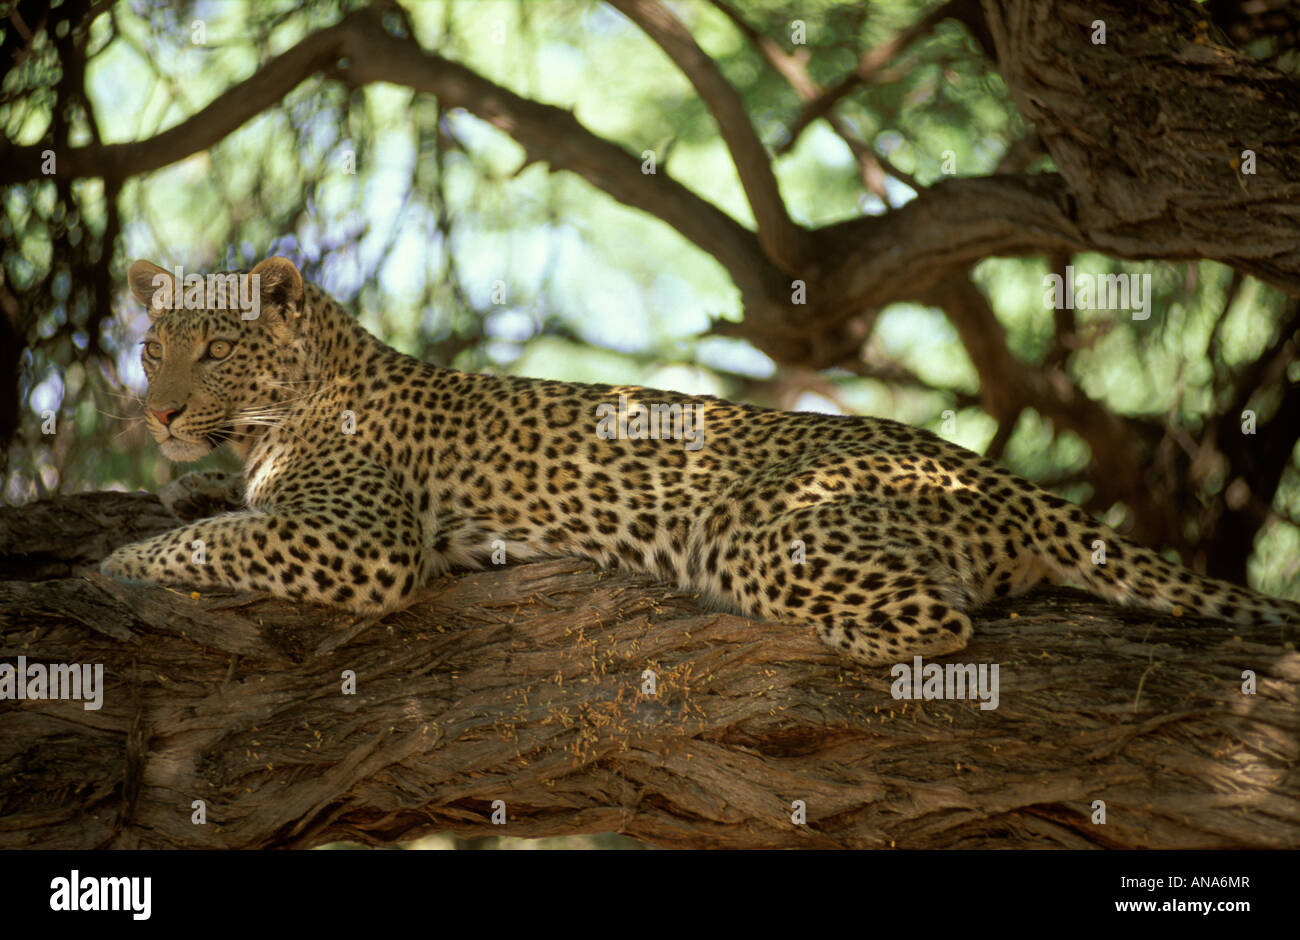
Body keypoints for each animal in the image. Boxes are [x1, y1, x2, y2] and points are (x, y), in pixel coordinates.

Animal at [101, 256, 1300, 666]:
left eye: (214, 349)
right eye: (154, 348)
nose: (158, 414)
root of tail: (997, 477)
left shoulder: (363, 542)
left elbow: (223, 539)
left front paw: (119, 563)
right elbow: (224, 506)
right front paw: (180, 483)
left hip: (760, 536)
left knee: (943, 620)